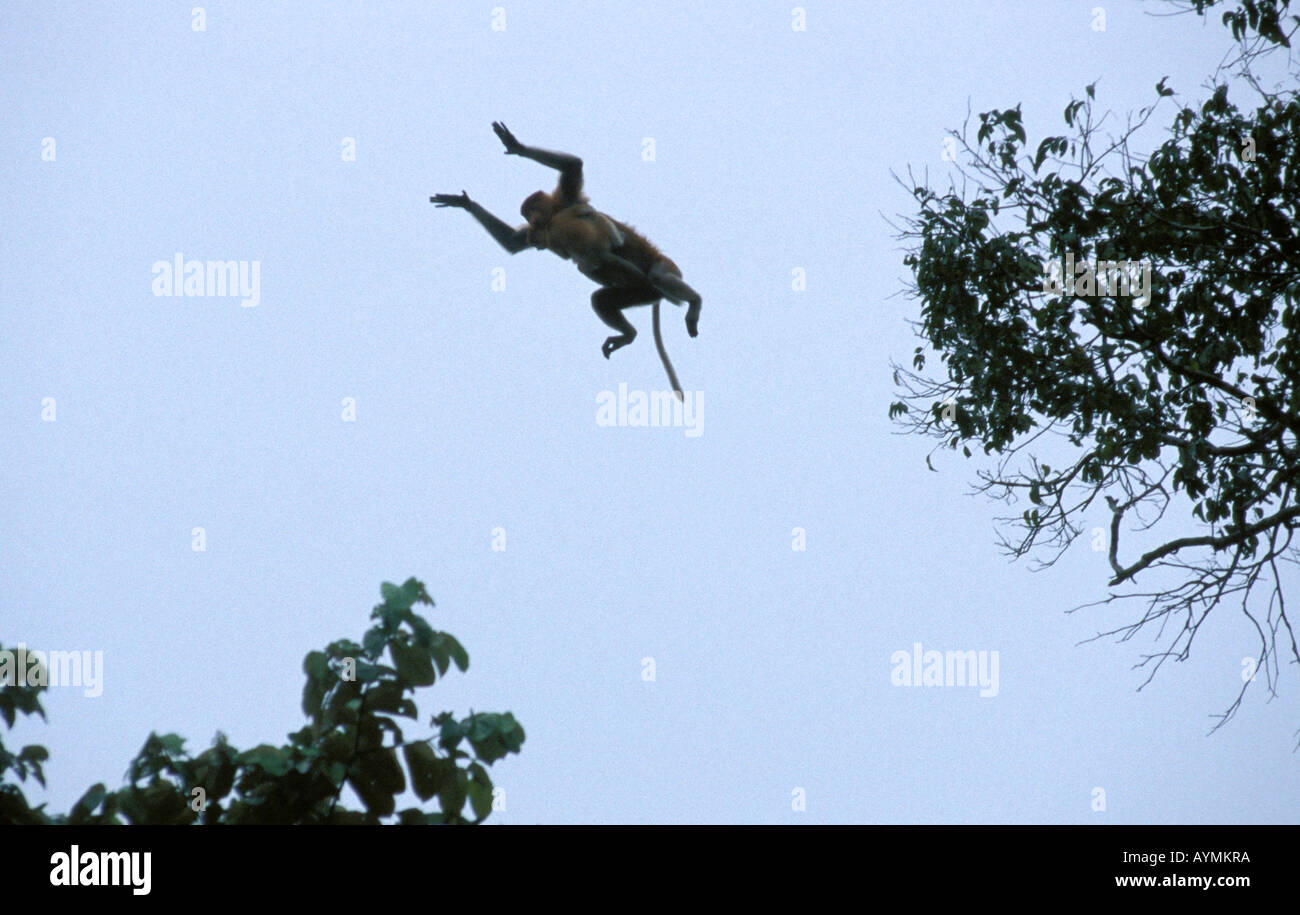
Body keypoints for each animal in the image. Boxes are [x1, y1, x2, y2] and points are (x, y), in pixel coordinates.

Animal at [431, 122, 702, 399]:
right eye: (526, 215)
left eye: (531, 209)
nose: (531, 220)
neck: (551, 218)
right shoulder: (540, 230)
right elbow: (514, 242)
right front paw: (465, 203)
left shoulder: (566, 201)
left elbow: (572, 166)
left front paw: (516, 145)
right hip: (642, 292)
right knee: (602, 296)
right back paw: (628, 333)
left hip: (663, 266)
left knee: (654, 273)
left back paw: (693, 302)